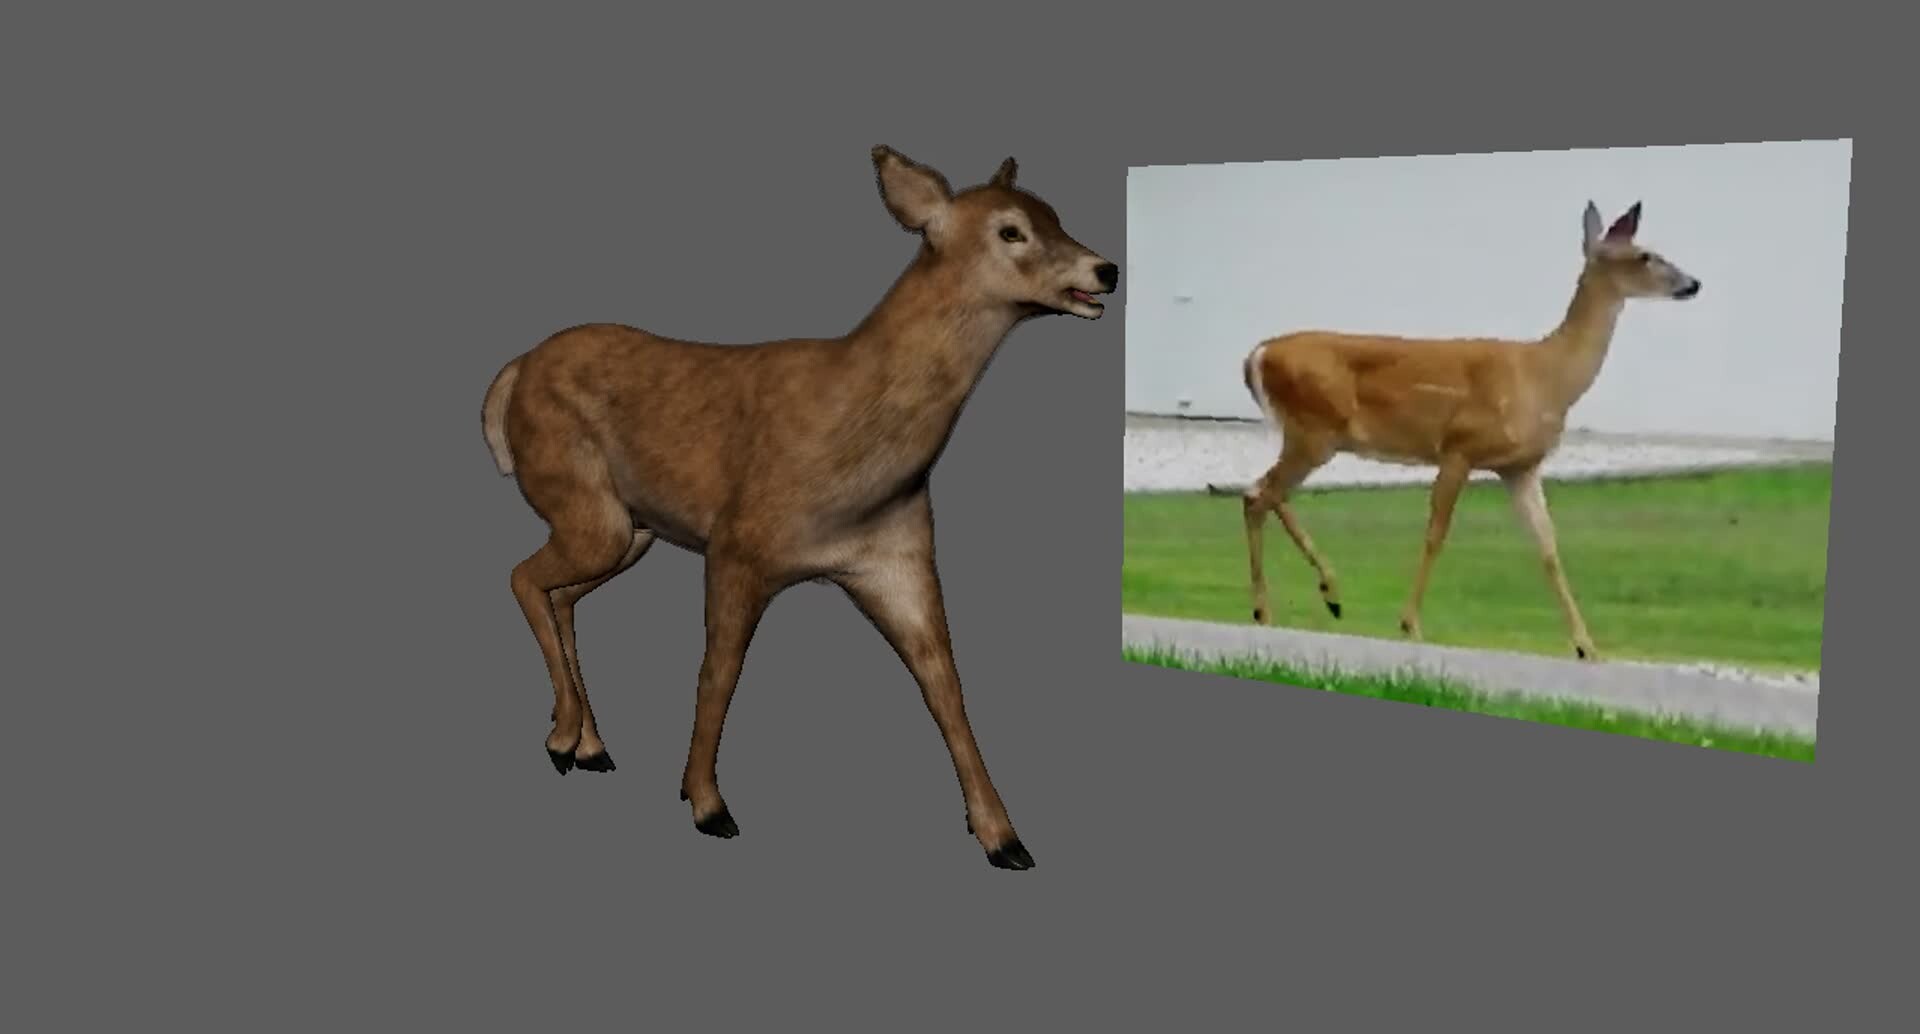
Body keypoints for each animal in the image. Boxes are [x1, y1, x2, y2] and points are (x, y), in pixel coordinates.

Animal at [479, 145, 1118, 871]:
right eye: (1011, 230)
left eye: (1056, 214)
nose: (1107, 269)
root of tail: (512, 373)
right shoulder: (737, 543)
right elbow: (717, 672)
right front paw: (707, 804)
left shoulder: (899, 555)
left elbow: (945, 683)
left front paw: (1003, 837)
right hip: (585, 502)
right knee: (523, 577)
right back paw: (564, 740)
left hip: (630, 529)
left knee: (559, 593)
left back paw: (588, 745)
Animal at [1238, 200, 1701, 662]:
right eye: (1645, 256)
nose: (1693, 283)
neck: (1546, 377)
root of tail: (1255, 356)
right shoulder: (1459, 447)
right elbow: (1436, 534)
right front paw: (1410, 624)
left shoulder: (1520, 467)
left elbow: (1548, 547)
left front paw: (1587, 646)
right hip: (1314, 430)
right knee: (1258, 495)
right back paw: (1268, 608)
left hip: (1310, 435)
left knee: (1267, 491)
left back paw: (1328, 593)